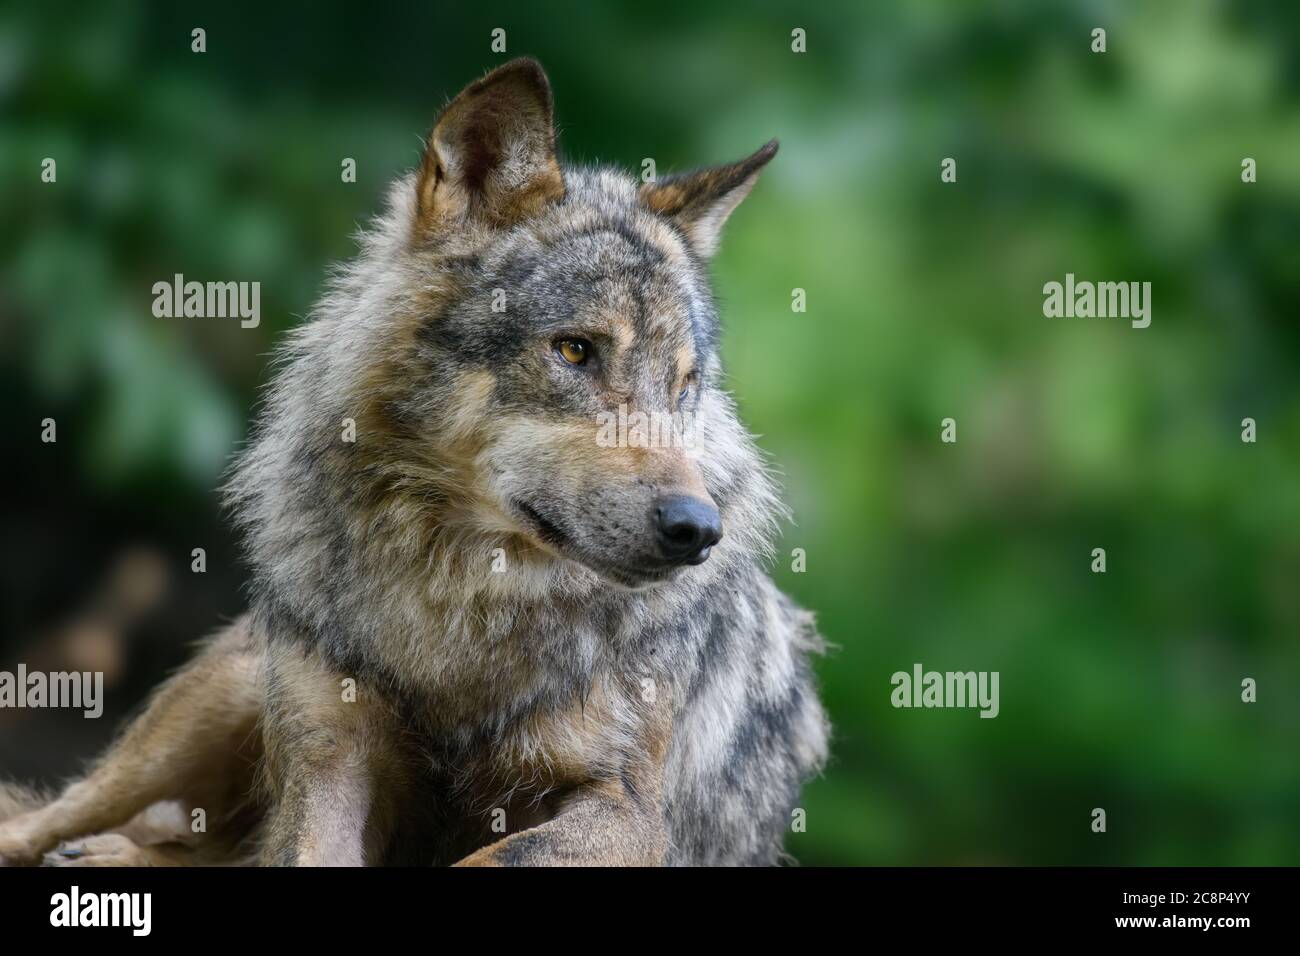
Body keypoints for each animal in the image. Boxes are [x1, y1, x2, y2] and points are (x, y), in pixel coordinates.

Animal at [0, 58, 828, 866]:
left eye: (685, 385)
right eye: (574, 351)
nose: (697, 529)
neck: (462, 601)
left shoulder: (626, 811)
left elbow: (496, 857)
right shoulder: (331, 756)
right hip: (211, 710)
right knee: (51, 821)